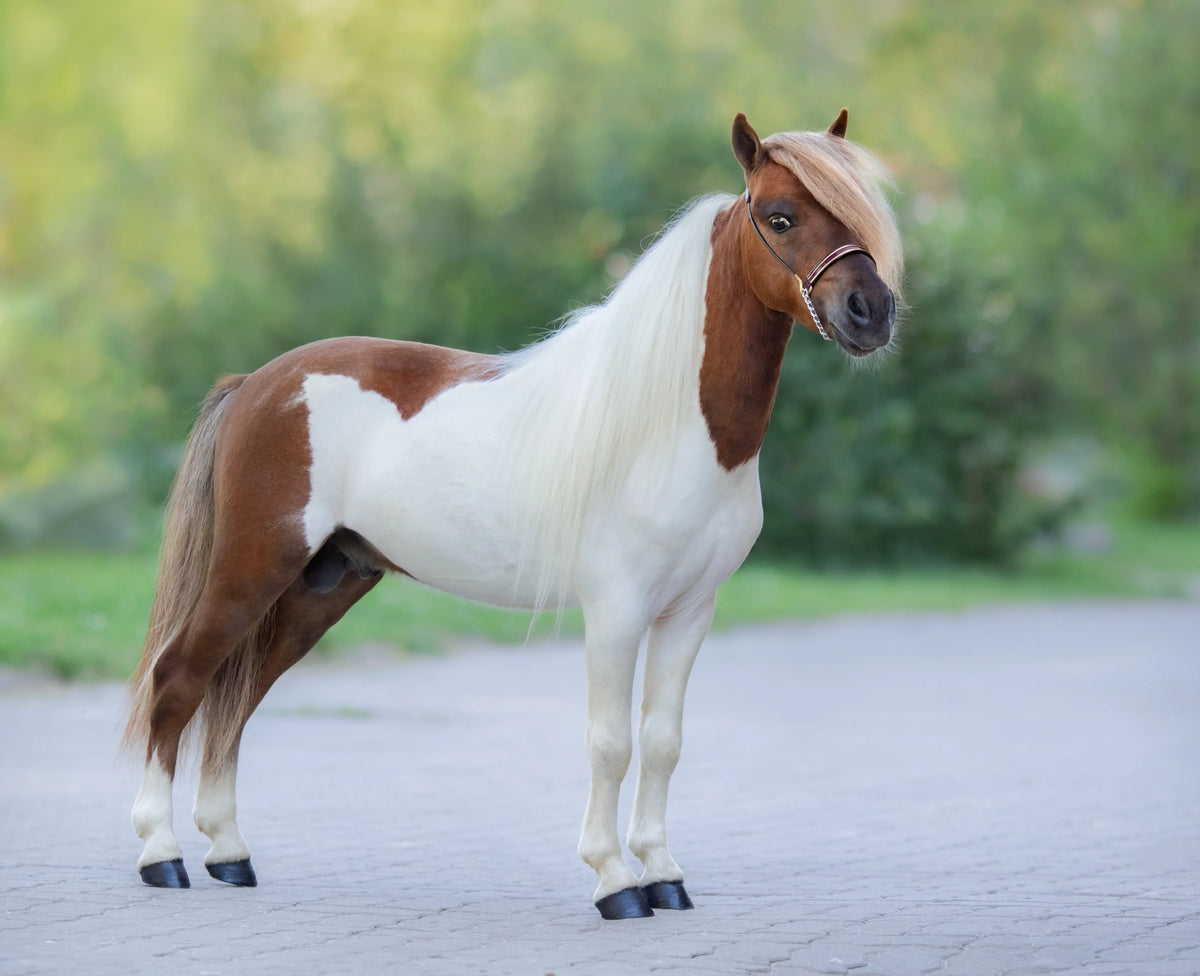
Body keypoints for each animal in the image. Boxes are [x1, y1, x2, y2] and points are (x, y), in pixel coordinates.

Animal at [123, 110, 903, 919]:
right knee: (178, 681)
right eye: (780, 217)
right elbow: (610, 743)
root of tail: (255, 385)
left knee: (236, 699)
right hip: (250, 571)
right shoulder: (617, 609)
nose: (871, 313)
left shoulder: (690, 610)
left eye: (858, 213)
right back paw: (162, 854)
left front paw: (663, 874)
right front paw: (615, 881)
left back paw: (229, 852)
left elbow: (662, 740)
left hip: (321, 586)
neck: (666, 426)